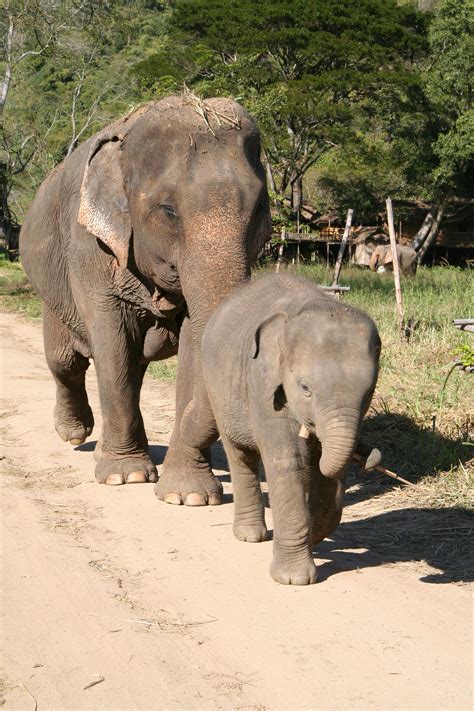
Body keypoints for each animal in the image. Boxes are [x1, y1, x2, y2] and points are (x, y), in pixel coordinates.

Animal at [20, 95, 270, 503]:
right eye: (168, 211)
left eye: (259, 208)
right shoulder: (88, 247)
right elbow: (111, 342)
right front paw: (127, 477)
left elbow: (193, 344)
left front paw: (188, 496)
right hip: (52, 288)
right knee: (66, 361)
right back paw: (75, 434)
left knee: (130, 368)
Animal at [201, 274, 381, 584]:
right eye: (305, 388)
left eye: (369, 392)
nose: (371, 456)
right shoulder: (261, 382)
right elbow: (289, 461)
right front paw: (294, 579)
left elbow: (325, 470)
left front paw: (314, 538)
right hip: (217, 389)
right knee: (239, 454)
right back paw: (250, 536)